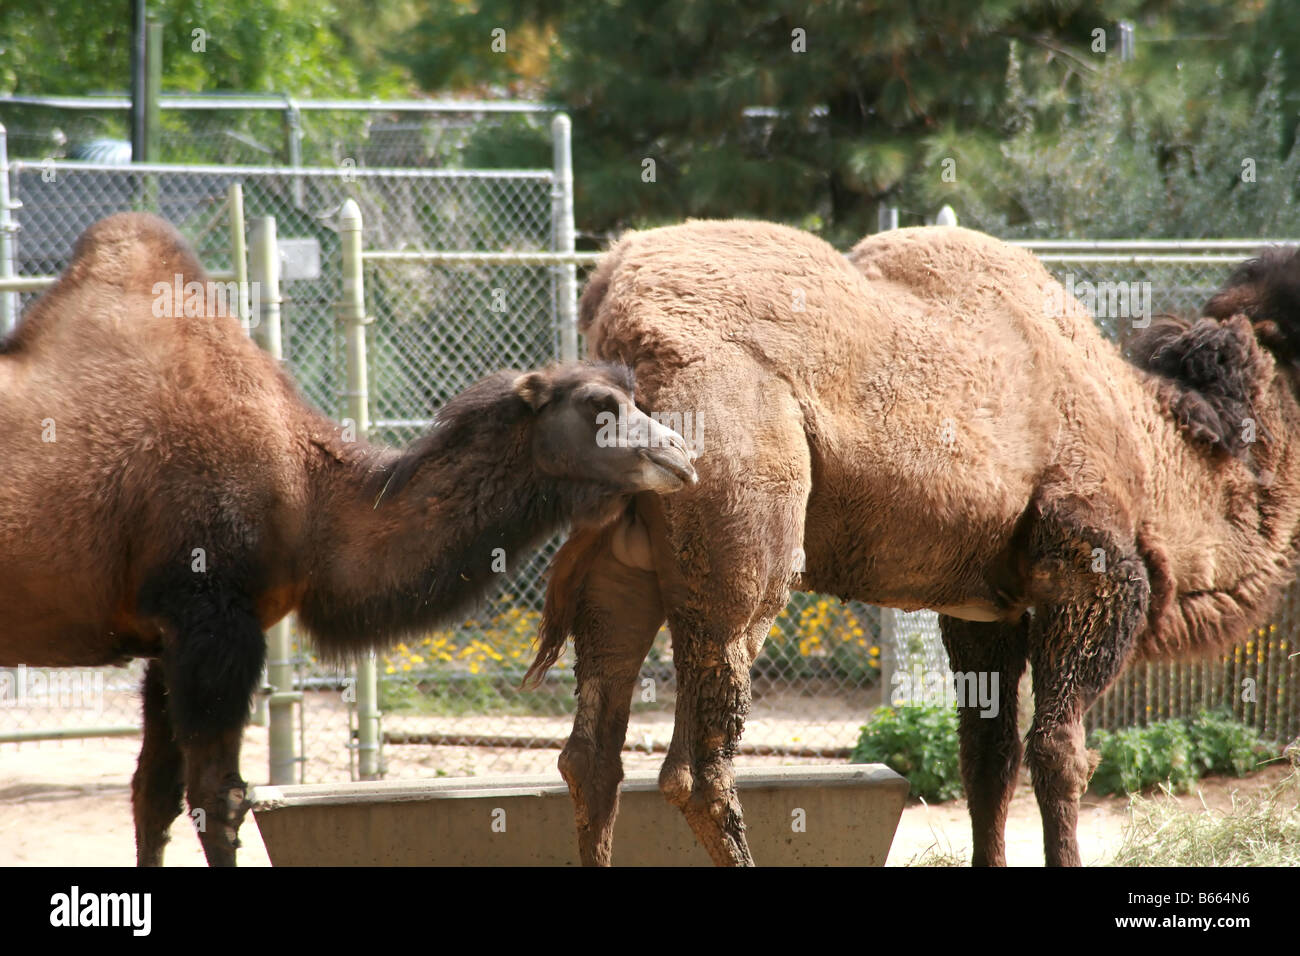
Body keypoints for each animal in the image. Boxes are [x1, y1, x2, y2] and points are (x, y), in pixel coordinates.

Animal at [0, 212, 697, 866]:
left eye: (637, 398)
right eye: (598, 406)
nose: (680, 455)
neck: (308, 499)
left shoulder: (162, 639)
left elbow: (153, 796)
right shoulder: (210, 617)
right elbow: (217, 799)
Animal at [525, 219, 1300, 866]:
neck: (1154, 458)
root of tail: (622, 331)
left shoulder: (984, 609)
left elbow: (988, 757)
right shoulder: (1092, 575)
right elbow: (1059, 754)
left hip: (624, 565)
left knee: (591, 758)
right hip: (739, 552)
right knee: (696, 768)